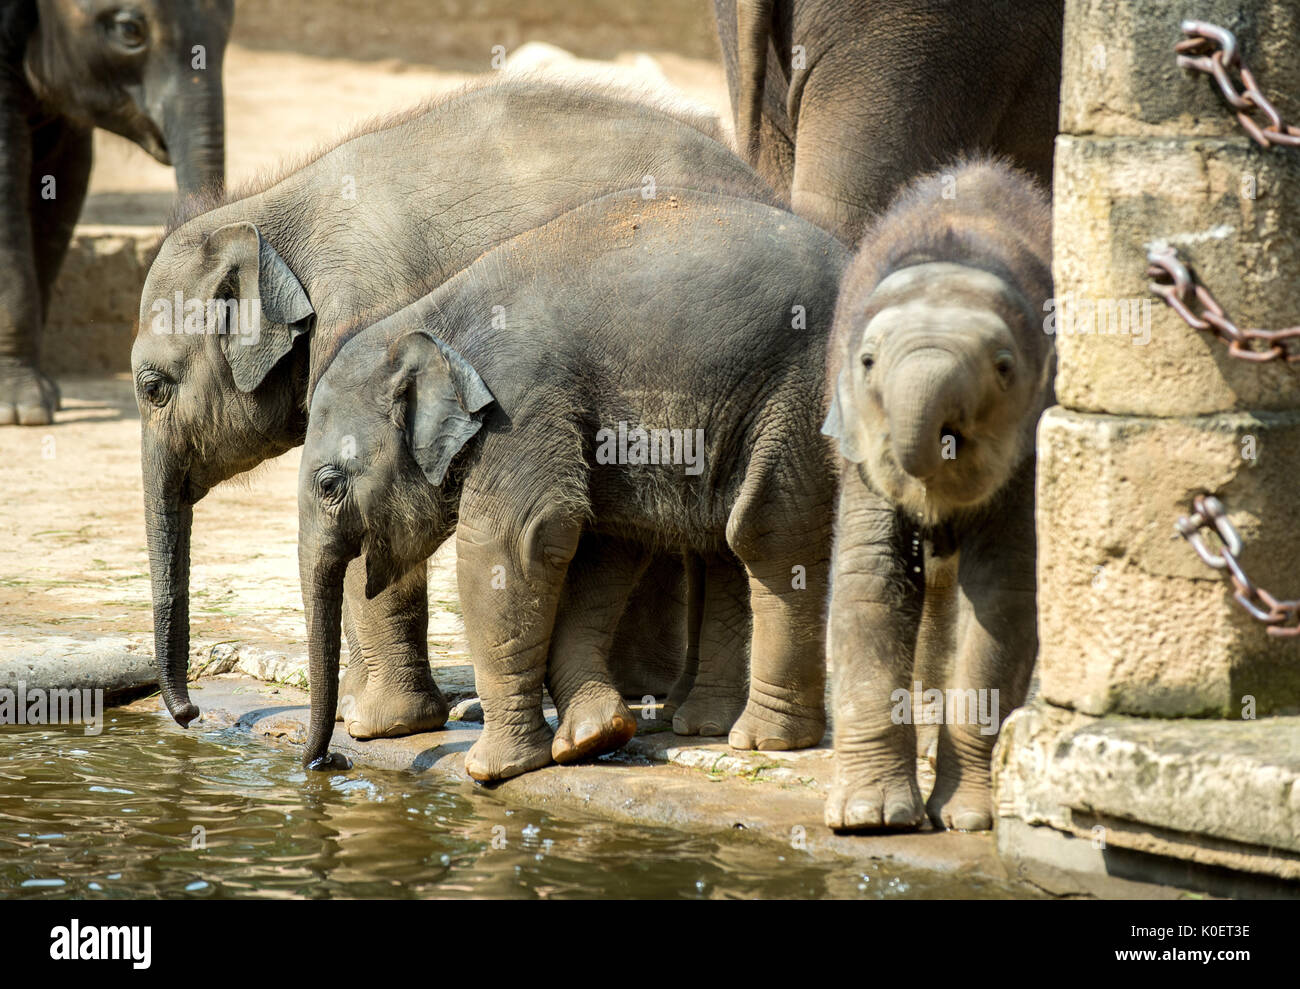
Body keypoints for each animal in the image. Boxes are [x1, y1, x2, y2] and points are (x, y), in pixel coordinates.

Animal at [131, 77, 783, 749]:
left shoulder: (364, 312)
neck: (269, 210)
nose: (188, 714)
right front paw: (358, 711)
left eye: (153, 388)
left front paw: (377, 726)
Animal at [294, 186, 847, 780]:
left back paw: (762, 740)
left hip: (797, 396)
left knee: (767, 532)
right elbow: (598, 550)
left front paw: (493, 770)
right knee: (725, 545)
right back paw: (704, 726)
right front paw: (592, 737)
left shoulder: (521, 406)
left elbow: (509, 544)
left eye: (329, 485)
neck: (430, 319)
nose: (326, 762)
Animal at [819, 158, 1054, 833]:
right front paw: (871, 818)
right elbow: (873, 578)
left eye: (1004, 367)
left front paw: (967, 820)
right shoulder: (859, 442)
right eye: (867, 362)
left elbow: (1001, 594)